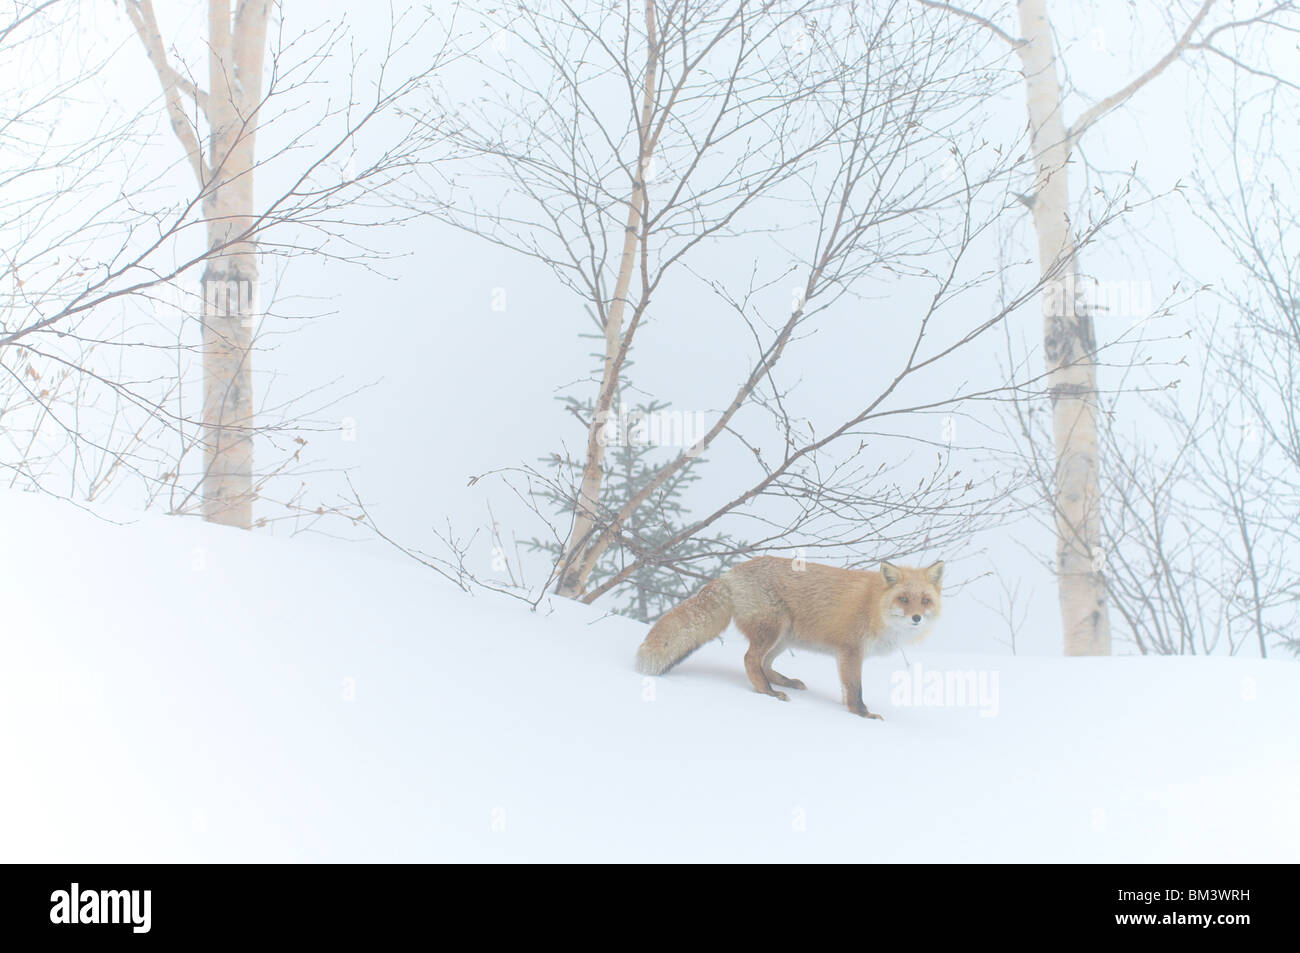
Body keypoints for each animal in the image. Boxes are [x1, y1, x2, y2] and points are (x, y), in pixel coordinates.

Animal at [635, 556, 944, 719]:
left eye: (924, 601)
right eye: (904, 599)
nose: (916, 618)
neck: (874, 605)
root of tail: (732, 571)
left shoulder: (847, 655)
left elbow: (847, 690)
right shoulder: (850, 650)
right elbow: (855, 689)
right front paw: (861, 715)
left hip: (784, 638)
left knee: (765, 664)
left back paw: (784, 682)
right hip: (774, 629)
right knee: (750, 660)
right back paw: (767, 692)